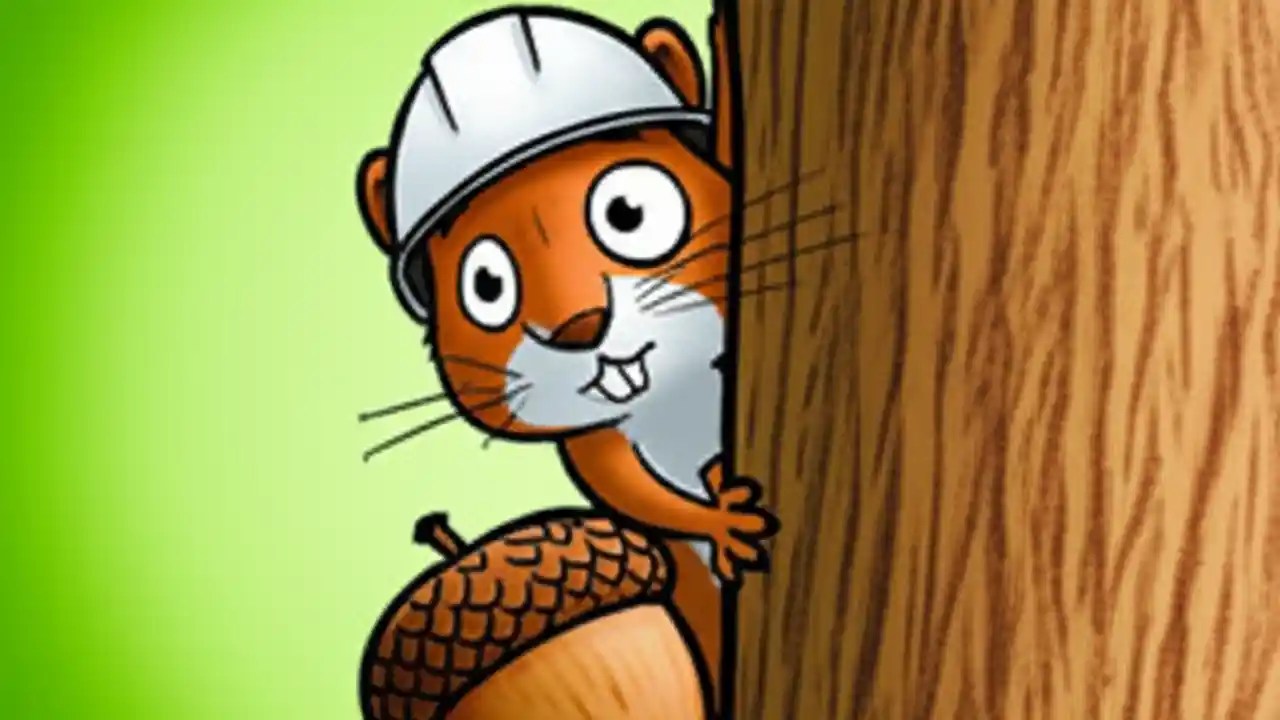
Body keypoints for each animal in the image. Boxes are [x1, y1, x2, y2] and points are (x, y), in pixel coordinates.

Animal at [354, 7, 775, 718]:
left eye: (629, 212)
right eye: (487, 285)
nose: (580, 325)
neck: (671, 397)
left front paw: (721, 40)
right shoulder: (593, 438)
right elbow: (622, 484)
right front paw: (720, 520)